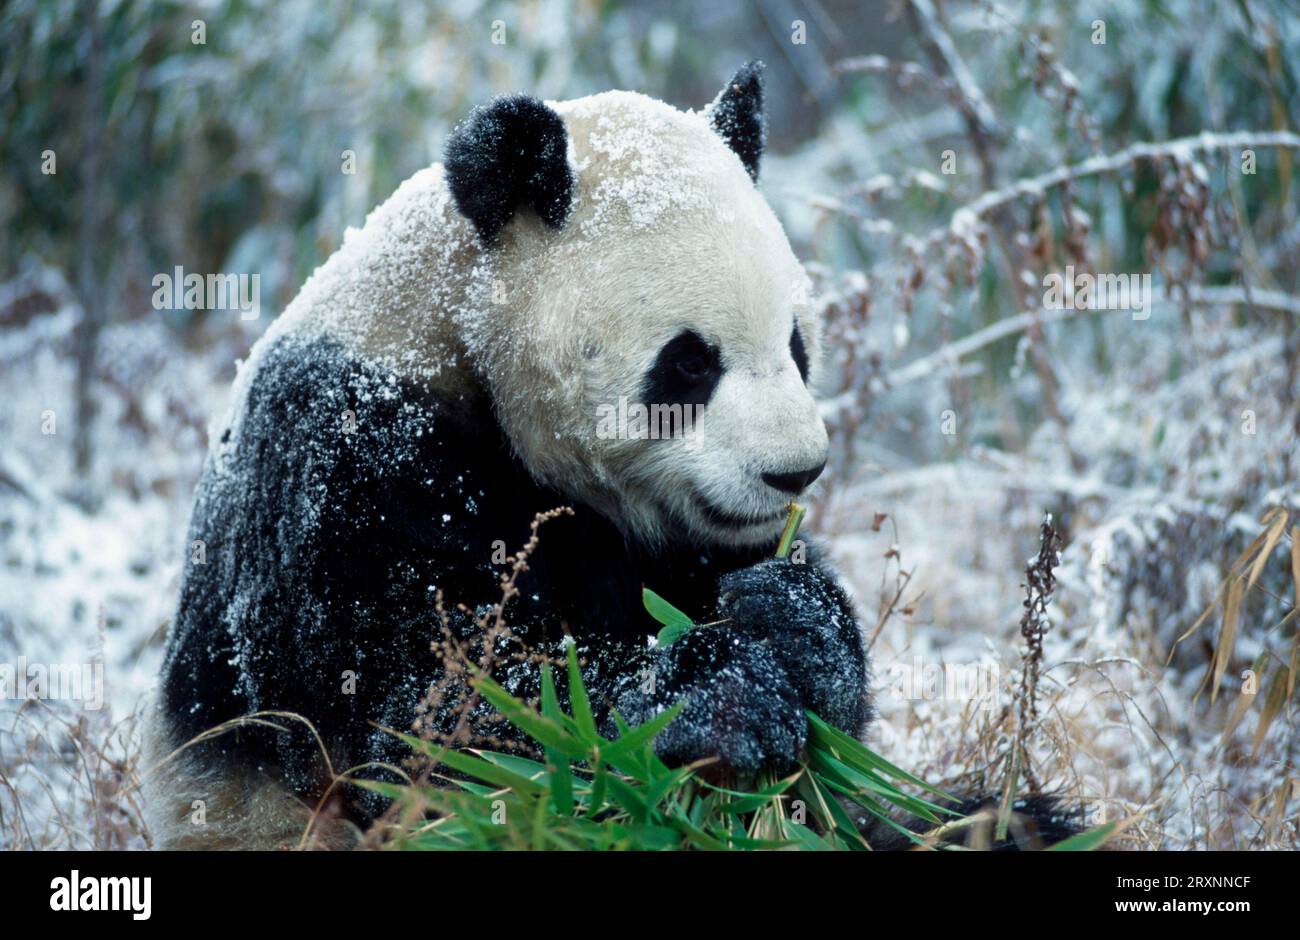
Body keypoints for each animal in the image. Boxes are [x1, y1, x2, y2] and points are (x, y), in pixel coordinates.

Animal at [146, 62, 1071, 850]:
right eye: (690, 361)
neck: (461, 337)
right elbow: (421, 715)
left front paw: (793, 620)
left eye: (797, 345)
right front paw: (714, 696)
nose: (794, 472)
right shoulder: (342, 453)